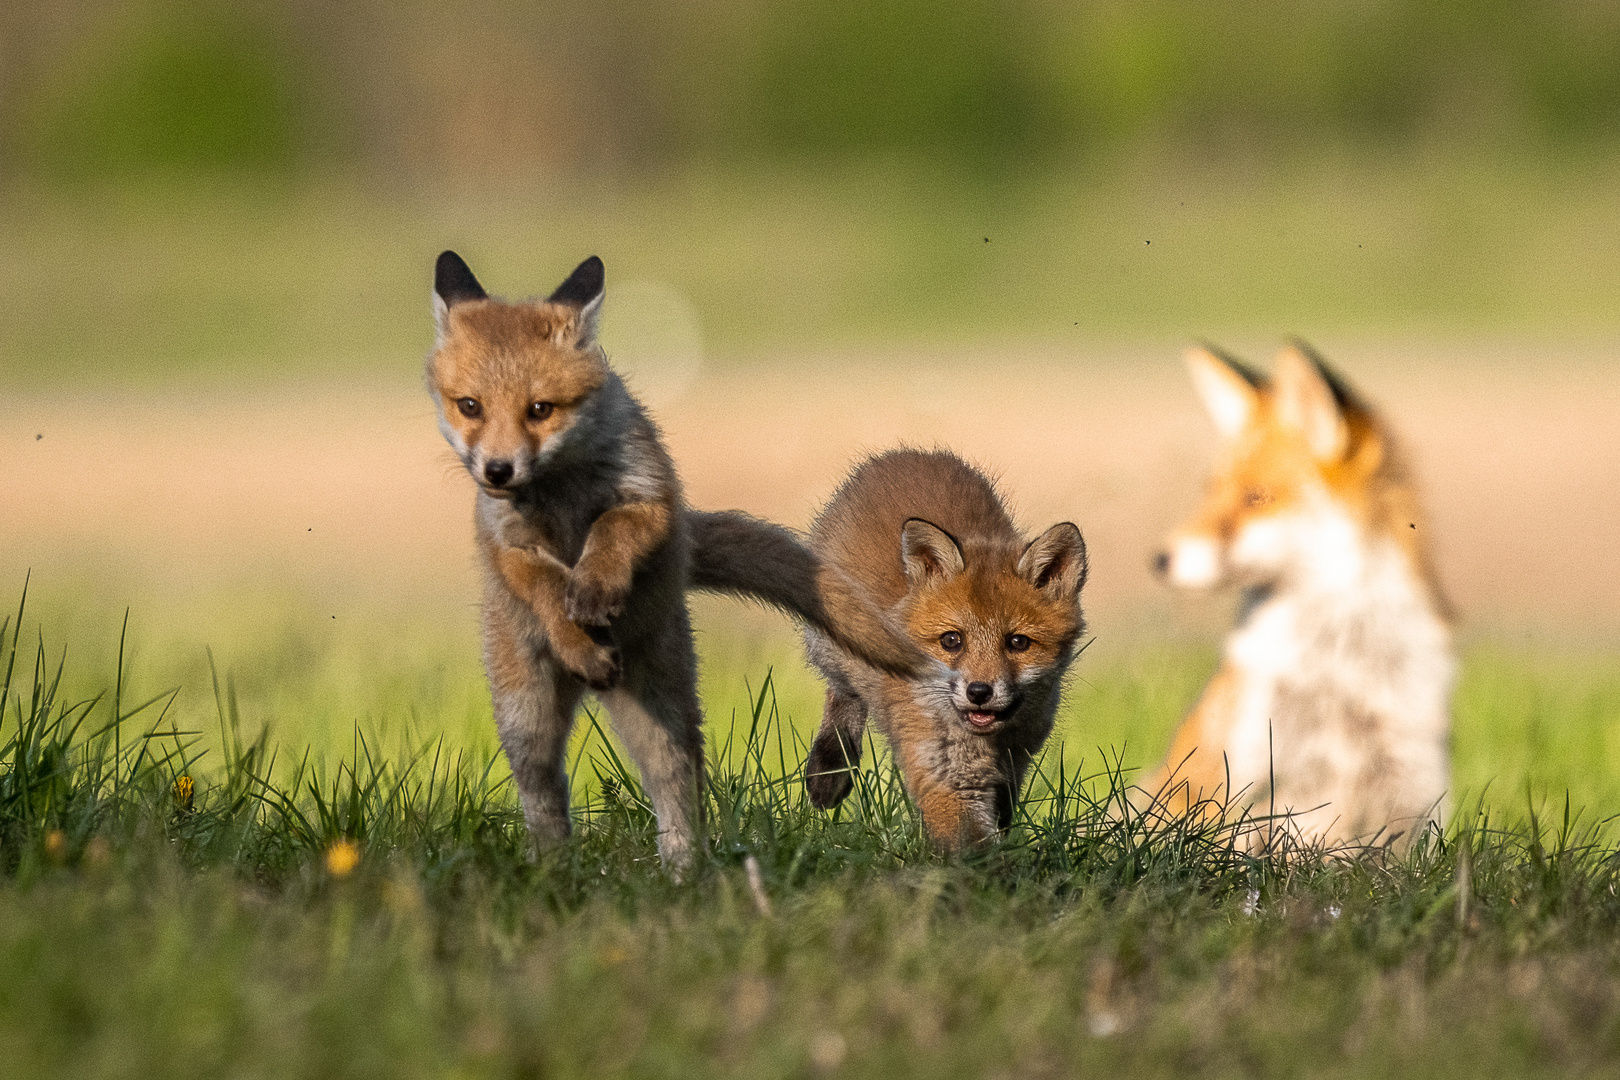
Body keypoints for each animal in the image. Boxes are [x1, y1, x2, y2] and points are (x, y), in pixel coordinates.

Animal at [427, 254, 926, 867]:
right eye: (469, 407)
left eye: (539, 410)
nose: (497, 471)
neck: (560, 490)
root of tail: (589, 692)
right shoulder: (508, 544)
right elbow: (544, 586)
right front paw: (575, 629)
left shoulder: (652, 501)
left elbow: (611, 531)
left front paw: (595, 586)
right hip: (527, 718)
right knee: (546, 794)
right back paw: (554, 867)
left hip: (660, 707)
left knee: (674, 788)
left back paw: (685, 869)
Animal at [800, 450, 1088, 854]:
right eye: (952, 641)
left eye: (1018, 643)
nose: (979, 692)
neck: (989, 739)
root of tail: (909, 454)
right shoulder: (945, 775)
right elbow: (975, 847)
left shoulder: (1014, 763)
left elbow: (1000, 816)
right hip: (831, 646)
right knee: (843, 693)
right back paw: (830, 768)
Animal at [1146, 346, 1451, 854]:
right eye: (1212, 490)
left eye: (1256, 497)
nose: (1159, 560)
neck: (1338, 666)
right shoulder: (1244, 781)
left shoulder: (1410, 797)